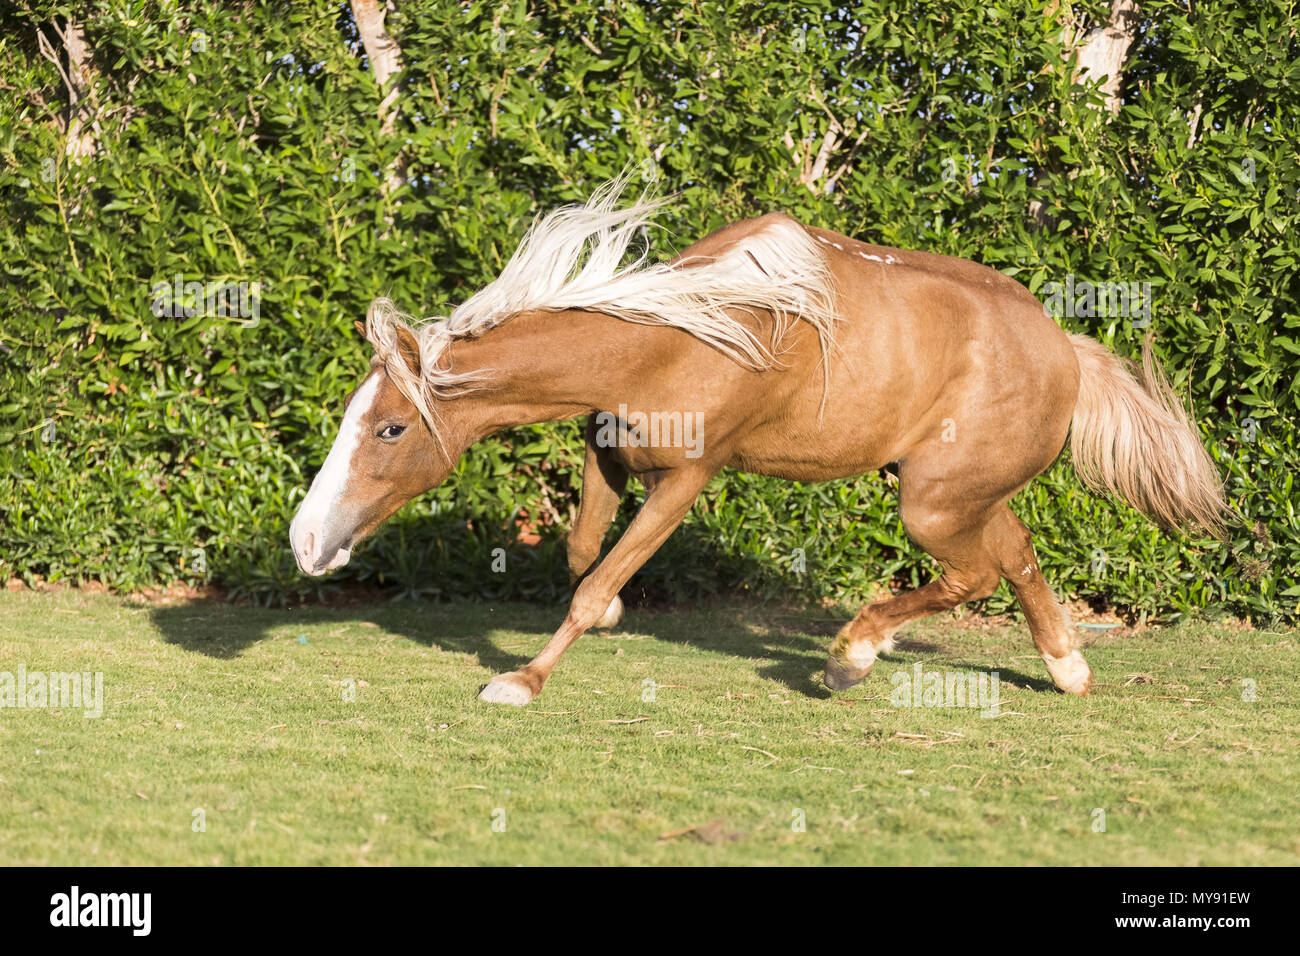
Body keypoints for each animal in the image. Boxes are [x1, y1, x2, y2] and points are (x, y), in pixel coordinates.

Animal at [288, 173, 1226, 706]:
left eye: (390, 426)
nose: (305, 539)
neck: (673, 339)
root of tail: (1064, 345)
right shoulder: (611, 455)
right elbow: (586, 552)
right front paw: (611, 609)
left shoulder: (687, 478)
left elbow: (593, 587)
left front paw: (520, 680)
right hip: (951, 489)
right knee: (1018, 554)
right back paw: (1067, 670)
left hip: (932, 503)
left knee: (977, 574)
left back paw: (852, 656)